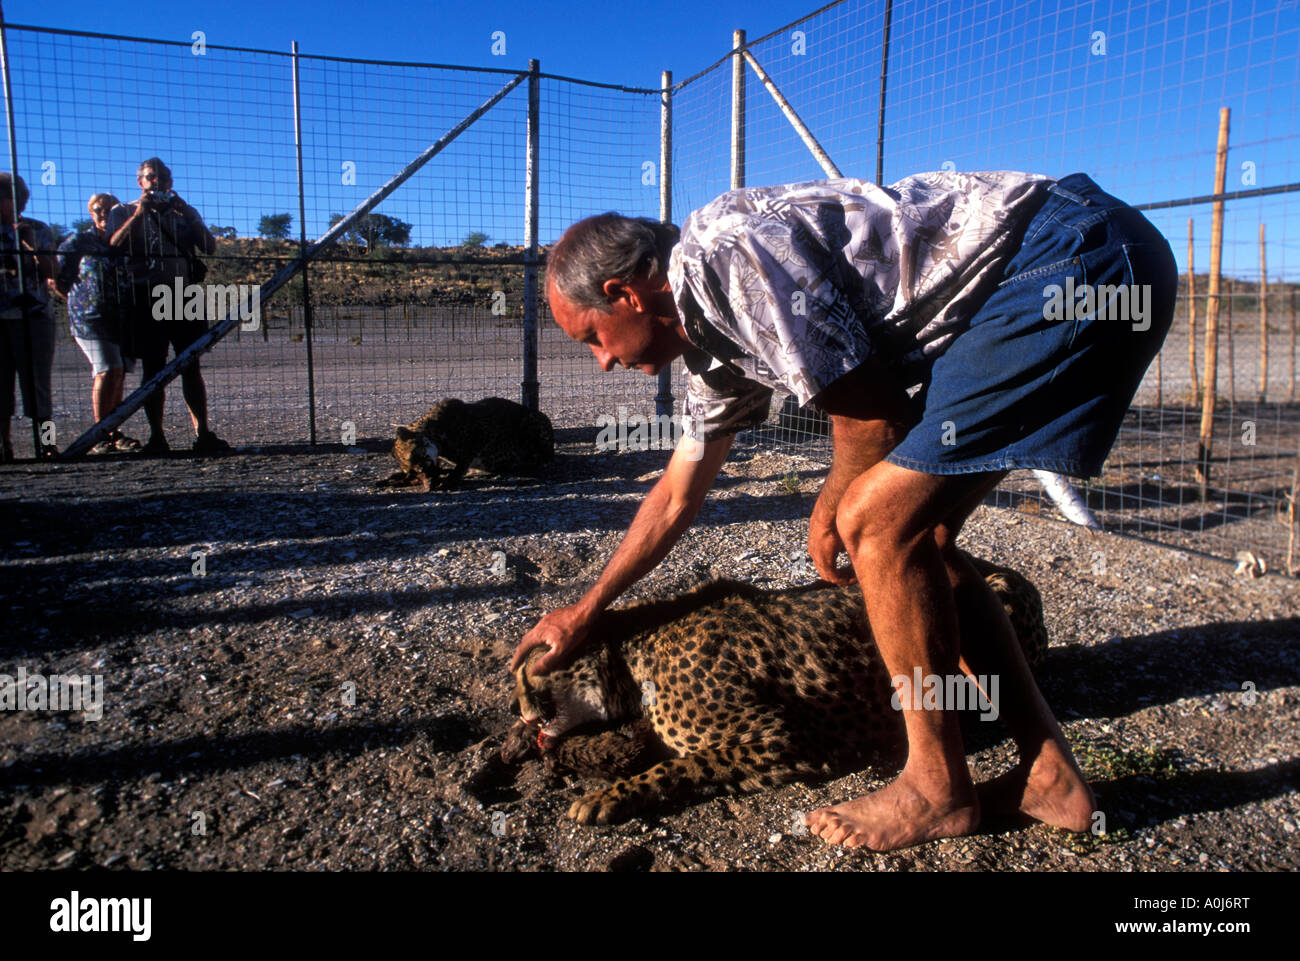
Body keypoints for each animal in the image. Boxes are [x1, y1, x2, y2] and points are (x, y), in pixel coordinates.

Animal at [385, 397, 553, 490]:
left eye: (413, 455)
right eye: (411, 470)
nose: (428, 486)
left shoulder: (480, 435)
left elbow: (463, 462)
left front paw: (449, 480)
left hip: (531, 421)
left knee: (541, 457)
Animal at [504, 553, 1047, 825]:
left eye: (527, 674)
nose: (517, 706)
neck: (628, 652)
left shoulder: (785, 735)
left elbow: (683, 763)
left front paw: (611, 795)